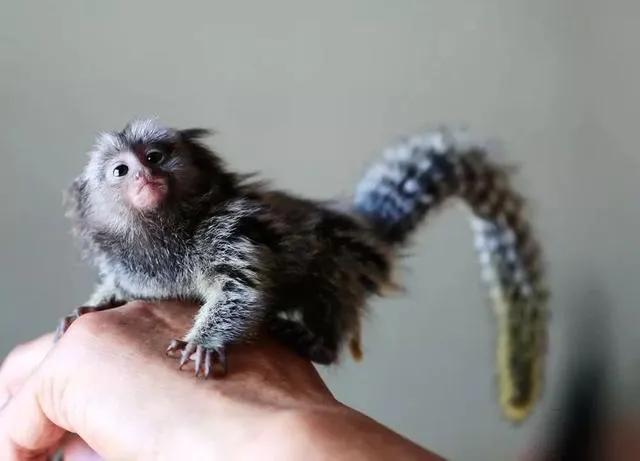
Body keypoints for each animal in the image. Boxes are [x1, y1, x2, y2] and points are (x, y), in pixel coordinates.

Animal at [59, 119, 548, 422]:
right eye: (121, 170)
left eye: (156, 156)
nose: (145, 176)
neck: (166, 233)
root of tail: (366, 229)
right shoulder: (134, 267)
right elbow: (123, 286)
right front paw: (93, 307)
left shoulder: (228, 230)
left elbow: (241, 289)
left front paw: (205, 342)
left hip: (344, 260)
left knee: (330, 282)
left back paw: (316, 340)